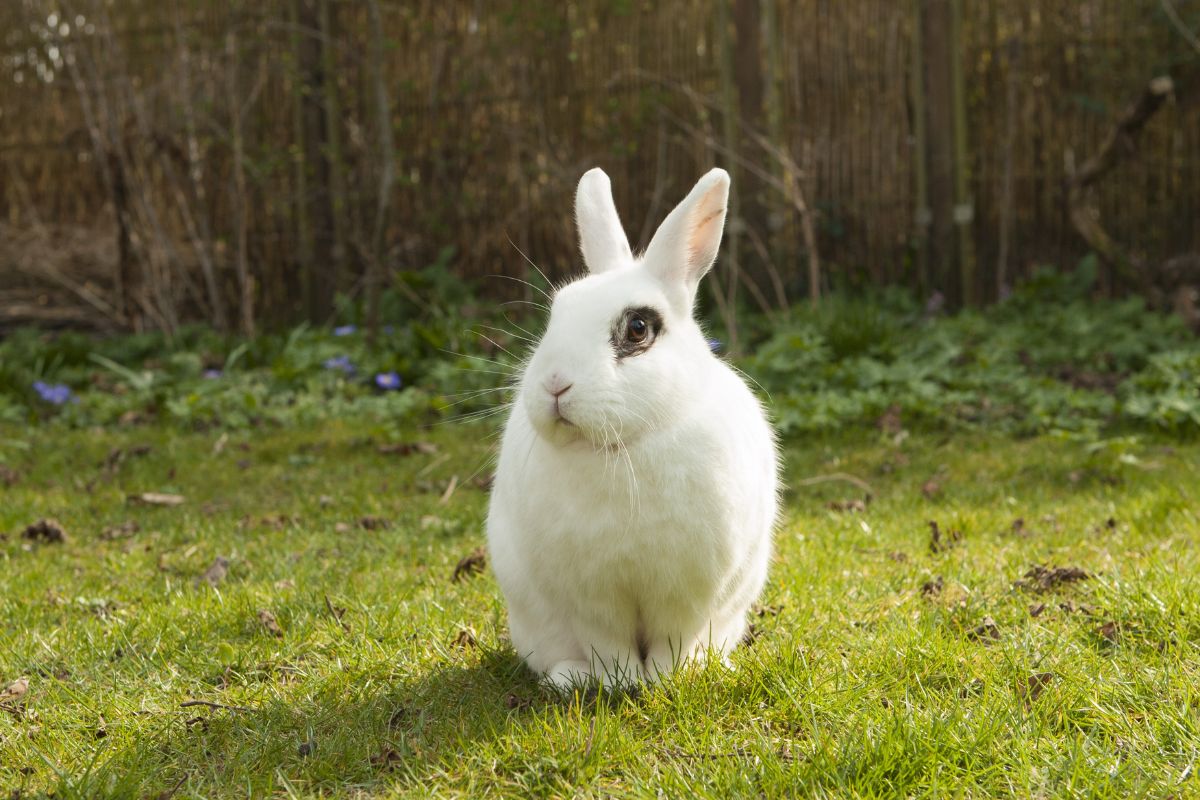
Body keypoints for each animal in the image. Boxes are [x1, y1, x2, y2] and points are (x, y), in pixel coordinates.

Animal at [487, 167, 779, 690]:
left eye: (638, 328)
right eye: (556, 314)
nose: (555, 383)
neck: (622, 447)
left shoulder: (686, 593)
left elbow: (673, 639)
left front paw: (666, 679)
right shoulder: (591, 598)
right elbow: (608, 643)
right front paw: (620, 682)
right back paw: (569, 678)